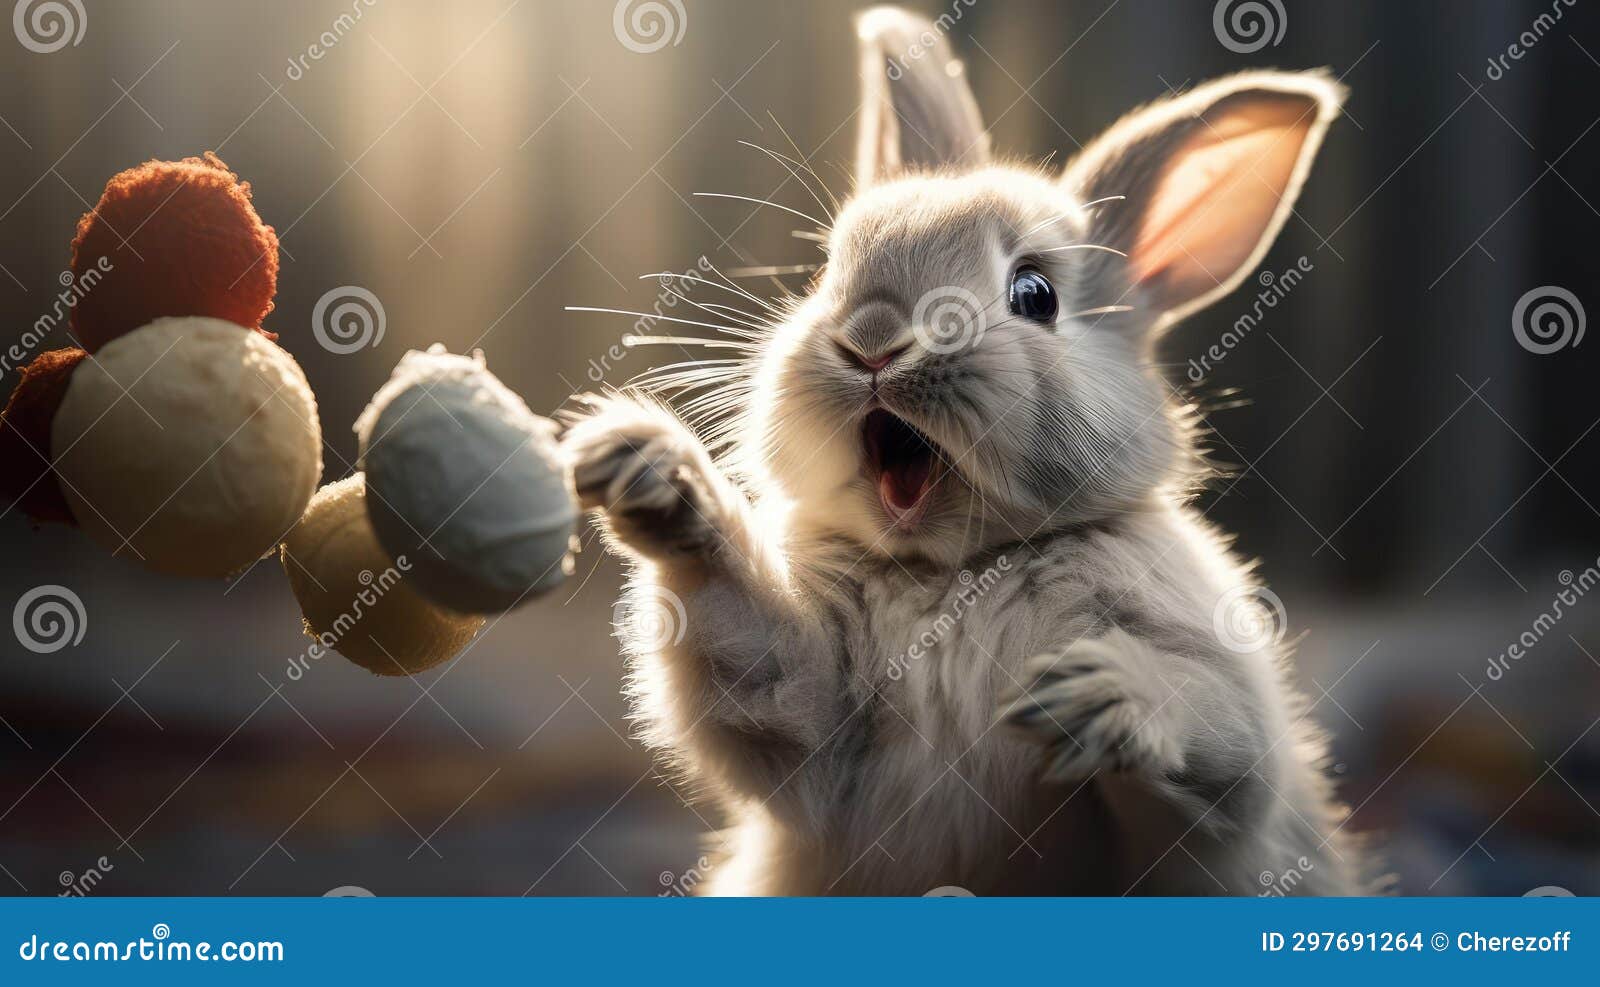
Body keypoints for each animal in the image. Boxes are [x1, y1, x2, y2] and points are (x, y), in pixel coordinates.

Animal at [561, 6, 1372, 895]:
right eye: (827, 270)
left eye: (1035, 295)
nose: (872, 341)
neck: (955, 572)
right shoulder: (803, 713)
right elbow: (746, 648)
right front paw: (641, 465)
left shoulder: (1222, 756)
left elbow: (1223, 756)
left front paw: (1097, 696)